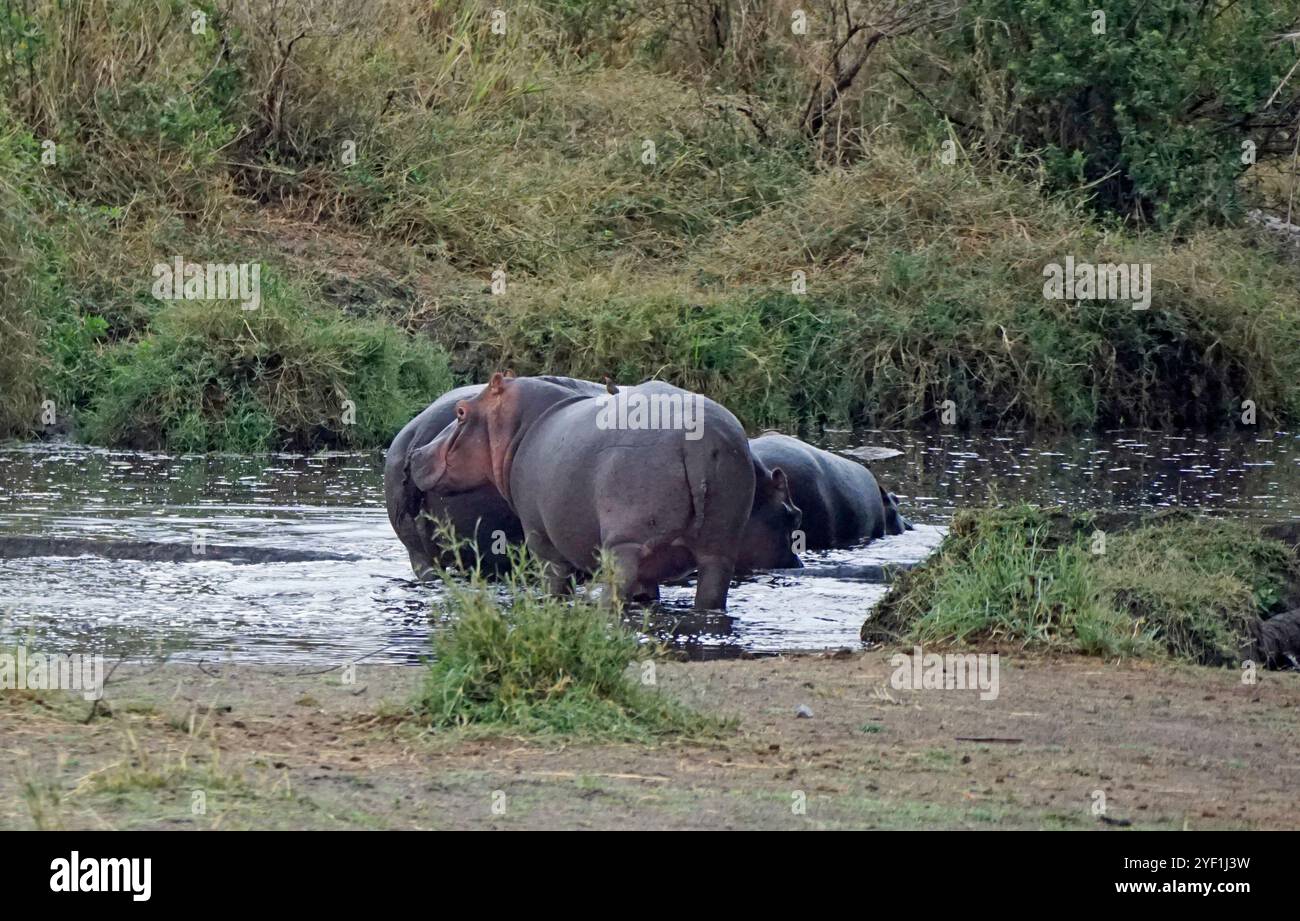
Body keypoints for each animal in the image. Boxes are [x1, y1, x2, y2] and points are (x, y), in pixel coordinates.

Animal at [407, 374, 755, 611]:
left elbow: (555, 582)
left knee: (615, 587)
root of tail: (697, 441)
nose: (415, 454)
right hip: (720, 546)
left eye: (461, 412)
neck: (518, 424)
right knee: (712, 587)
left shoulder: (541, 540)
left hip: (625, 543)